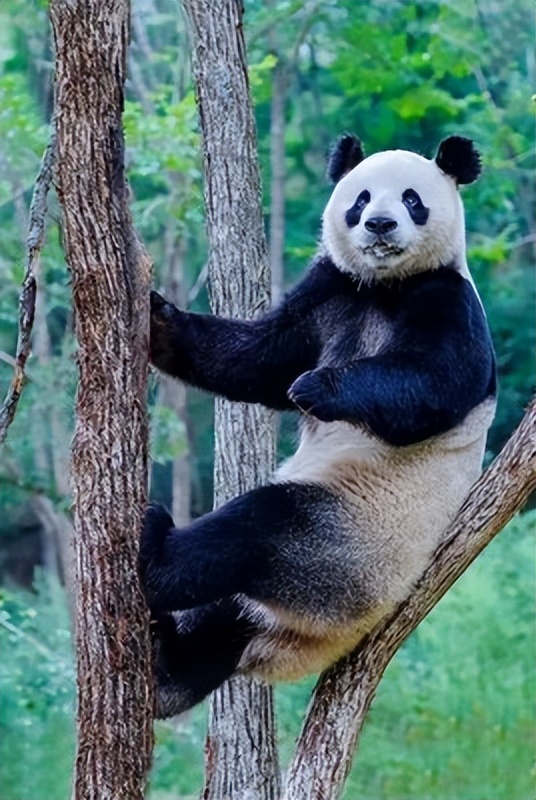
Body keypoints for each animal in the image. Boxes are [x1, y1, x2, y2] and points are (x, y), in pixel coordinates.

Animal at [140, 134, 497, 718]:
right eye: (361, 198)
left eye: (412, 200)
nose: (379, 225)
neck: (383, 286)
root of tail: (294, 645)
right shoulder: (332, 289)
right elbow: (254, 360)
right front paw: (159, 322)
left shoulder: (449, 302)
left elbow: (432, 388)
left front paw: (316, 389)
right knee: (219, 626)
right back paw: (167, 670)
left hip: (343, 553)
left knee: (258, 528)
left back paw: (153, 553)